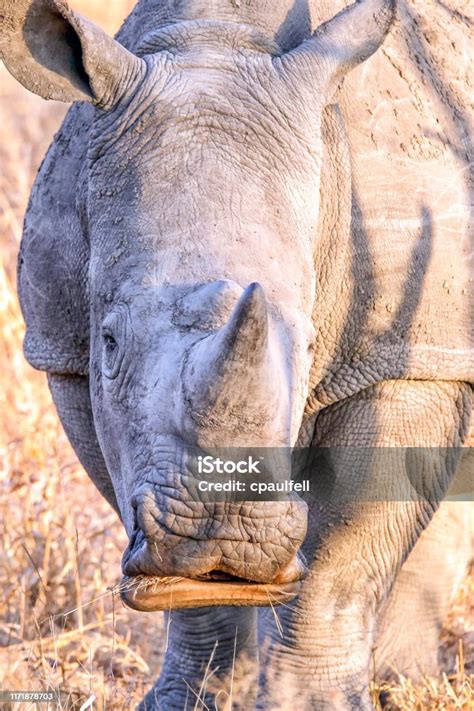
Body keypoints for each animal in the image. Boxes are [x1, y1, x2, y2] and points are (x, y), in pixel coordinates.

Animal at [1, 0, 472, 708]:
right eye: (108, 342)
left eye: (308, 343)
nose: (224, 536)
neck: (219, 41)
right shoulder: (64, 350)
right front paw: (194, 691)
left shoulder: (408, 350)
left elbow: (342, 554)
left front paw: (313, 704)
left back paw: (401, 681)